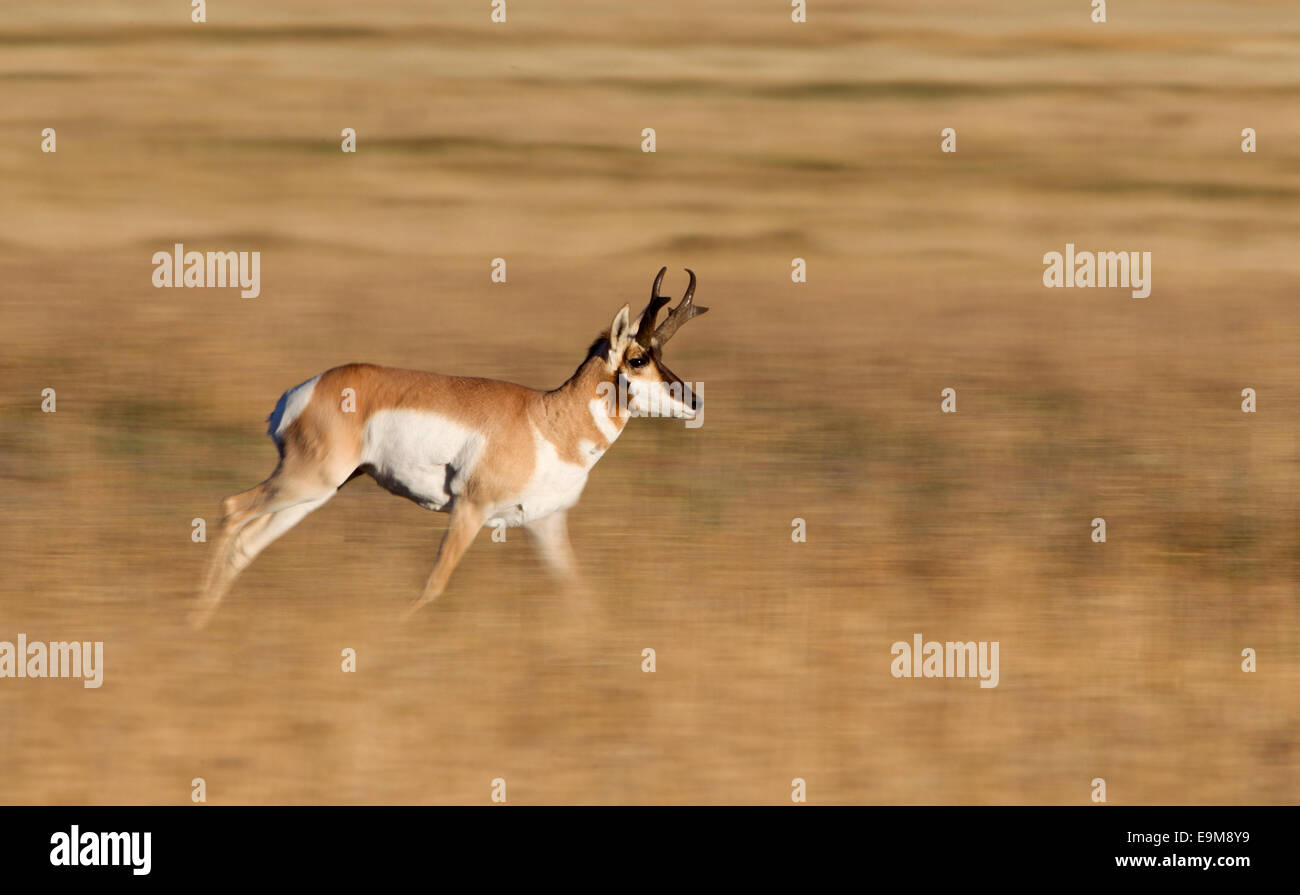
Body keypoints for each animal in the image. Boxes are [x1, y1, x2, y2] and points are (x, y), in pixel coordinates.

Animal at [192, 267, 708, 628]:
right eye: (637, 359)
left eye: (661, 356)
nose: (695, 399)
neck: (546, 419)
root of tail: (306, 389)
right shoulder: (469, 510)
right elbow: (433, 585)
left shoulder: (546, 524)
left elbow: (581, 591)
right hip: (305, 481)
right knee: (232, 508)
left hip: (314, 493)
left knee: (247, 543)